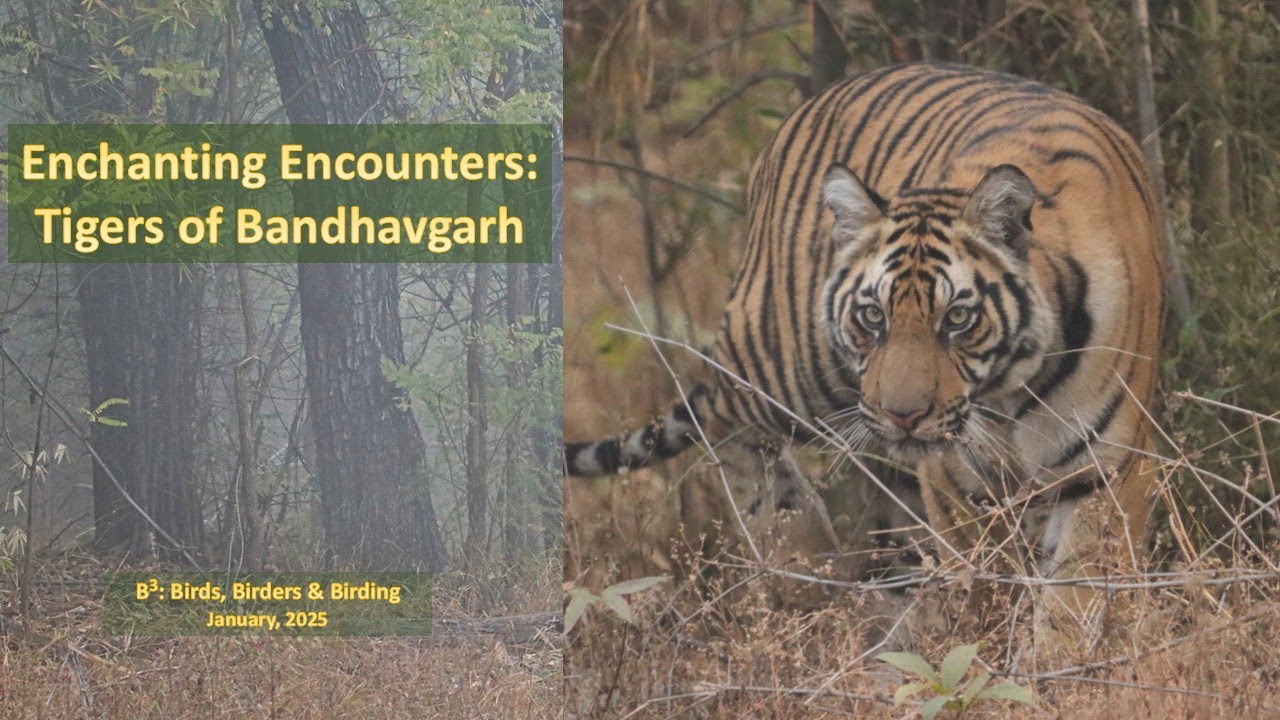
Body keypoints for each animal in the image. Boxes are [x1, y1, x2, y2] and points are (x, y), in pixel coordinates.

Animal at [566, 62, 1165, 644]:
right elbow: (981, 582)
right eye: (874, 316)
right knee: (722, 409)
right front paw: (980, 646)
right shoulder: (954, 477)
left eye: (957, 318)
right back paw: (798, 550)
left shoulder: (1104, 471)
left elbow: (1074, 600)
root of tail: (804, 111)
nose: (903, 415)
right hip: (787, 365)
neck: (1009, 391)